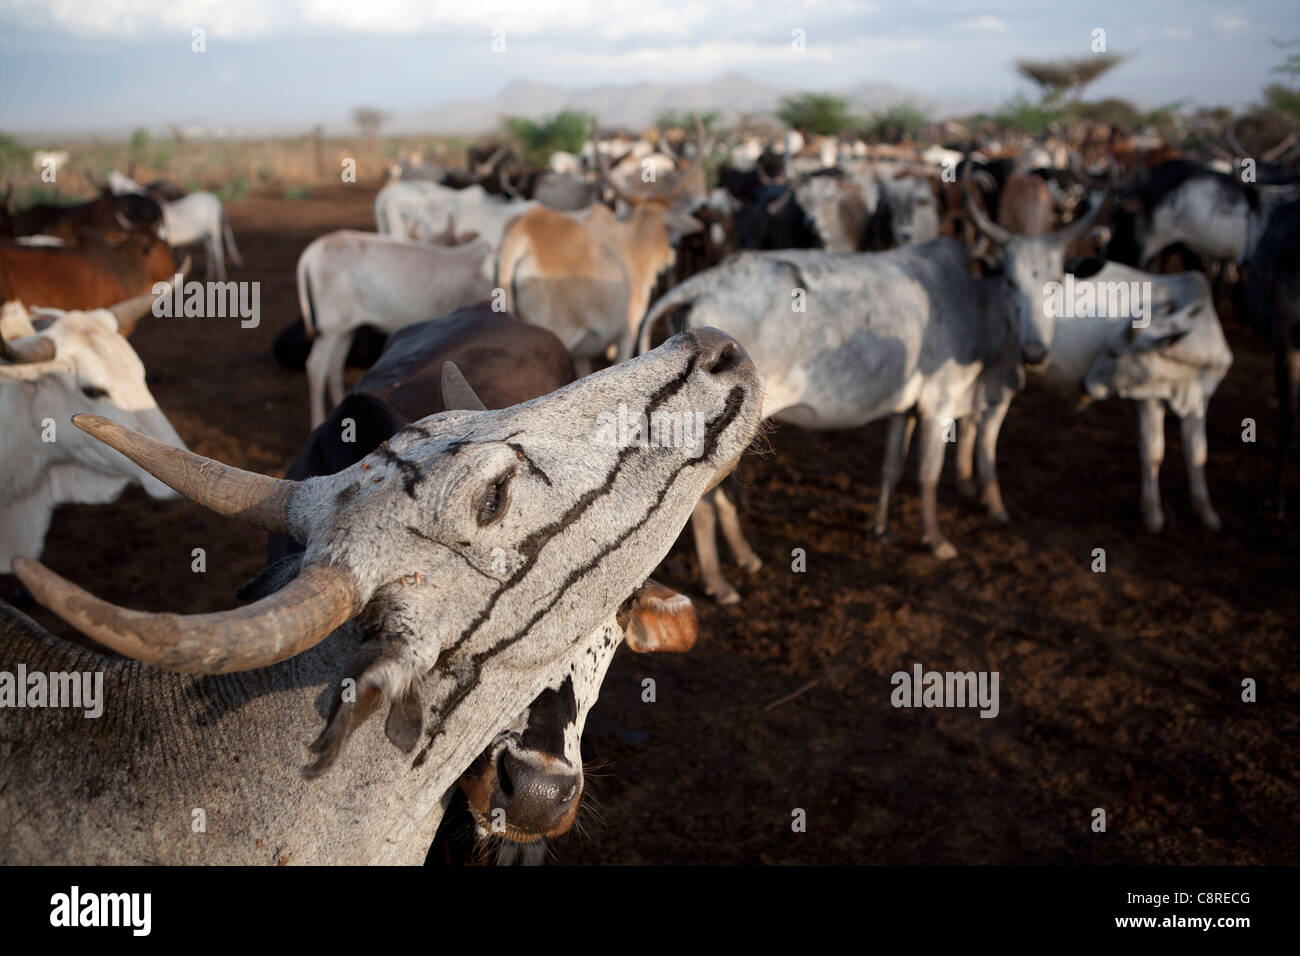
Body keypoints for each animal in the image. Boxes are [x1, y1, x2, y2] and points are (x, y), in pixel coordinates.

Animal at [295, 230, 492, 427]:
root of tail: (314, 250)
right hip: (330, 328)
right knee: (316, 366)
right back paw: (317, 421)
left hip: (344, 329)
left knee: (335, 365)